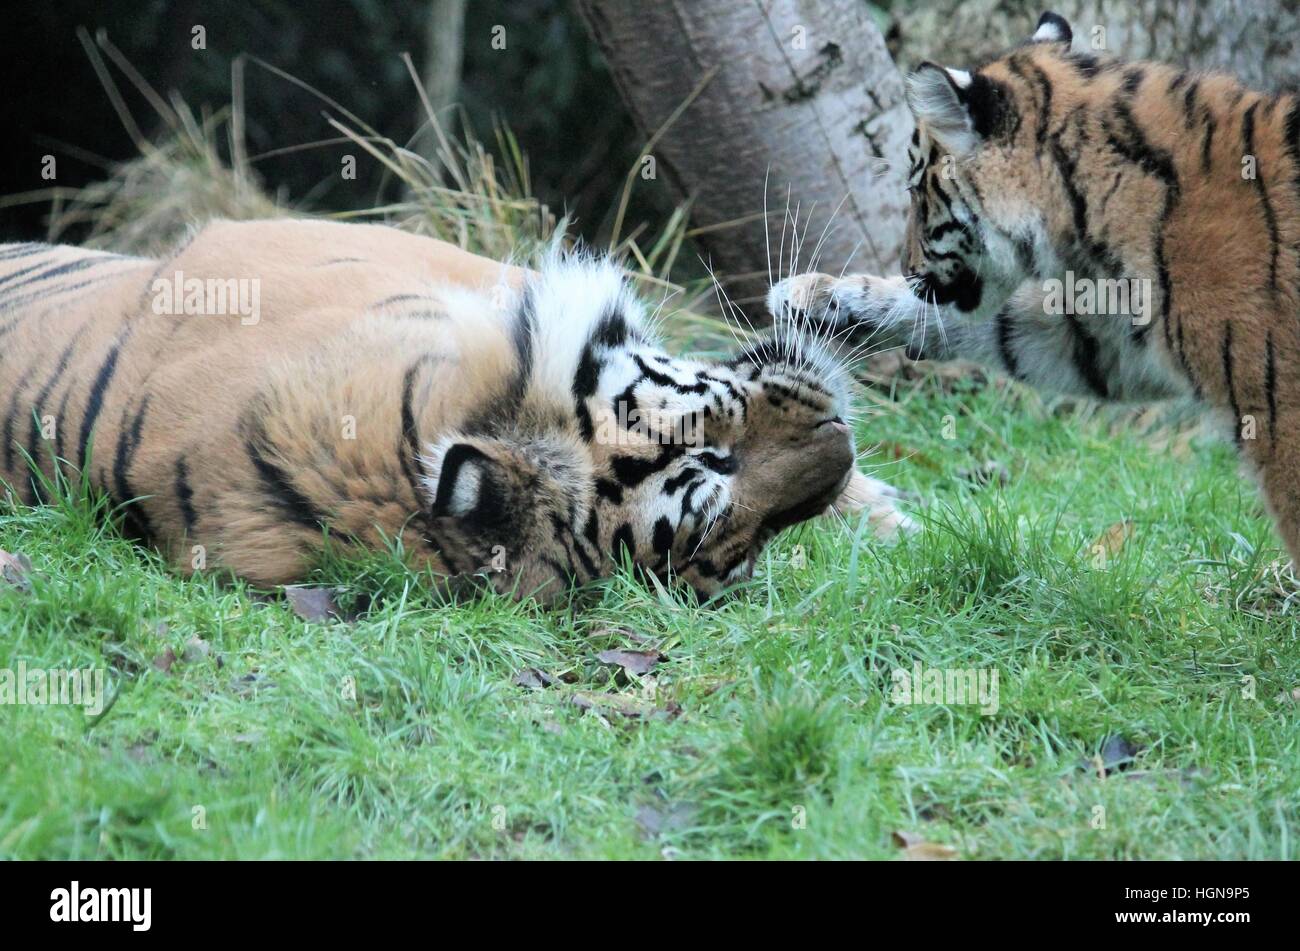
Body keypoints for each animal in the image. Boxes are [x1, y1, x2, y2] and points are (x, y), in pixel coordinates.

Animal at [769, 10, 1300, 567]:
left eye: (917, 189)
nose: (906, 266)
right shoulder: (1112, 335)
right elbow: (1007, 332)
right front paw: (816, 298)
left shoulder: (1280, 411)